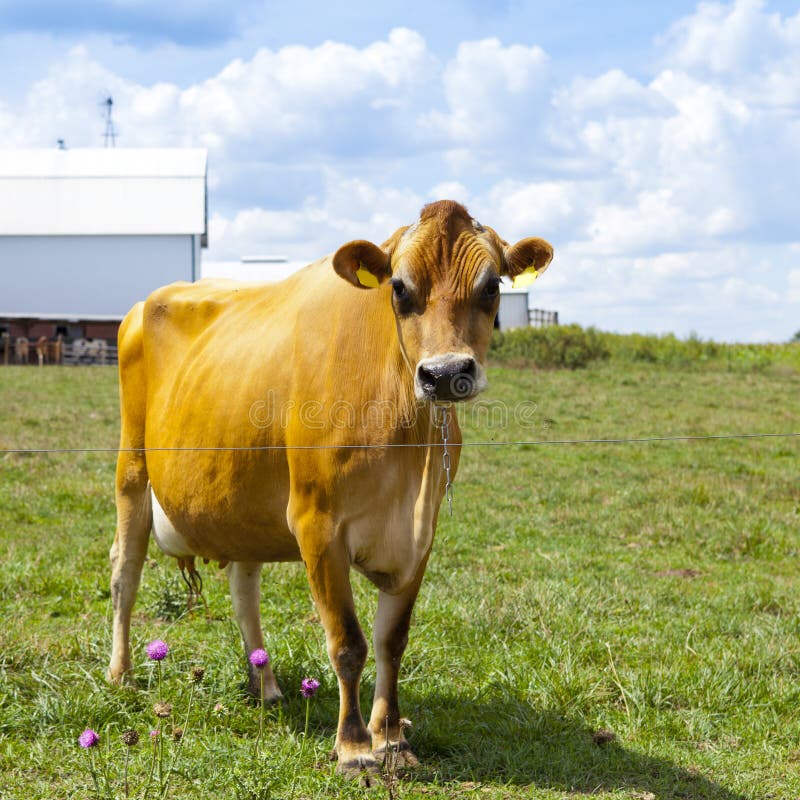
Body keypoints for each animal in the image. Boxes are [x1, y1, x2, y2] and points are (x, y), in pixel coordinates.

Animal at [107, 200, 553, 777]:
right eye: (399, 288)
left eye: (492, 286)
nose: (445, 373)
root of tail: (148, 301)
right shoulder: (316, 523)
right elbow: (347, 643)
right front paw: (355, 745)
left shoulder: (421, 533)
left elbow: (392, 640)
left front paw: (392, 737)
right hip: (132, 469)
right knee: (125, 570)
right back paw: (121, 674)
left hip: (242, 500)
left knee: (244, 589)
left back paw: (266, 685)